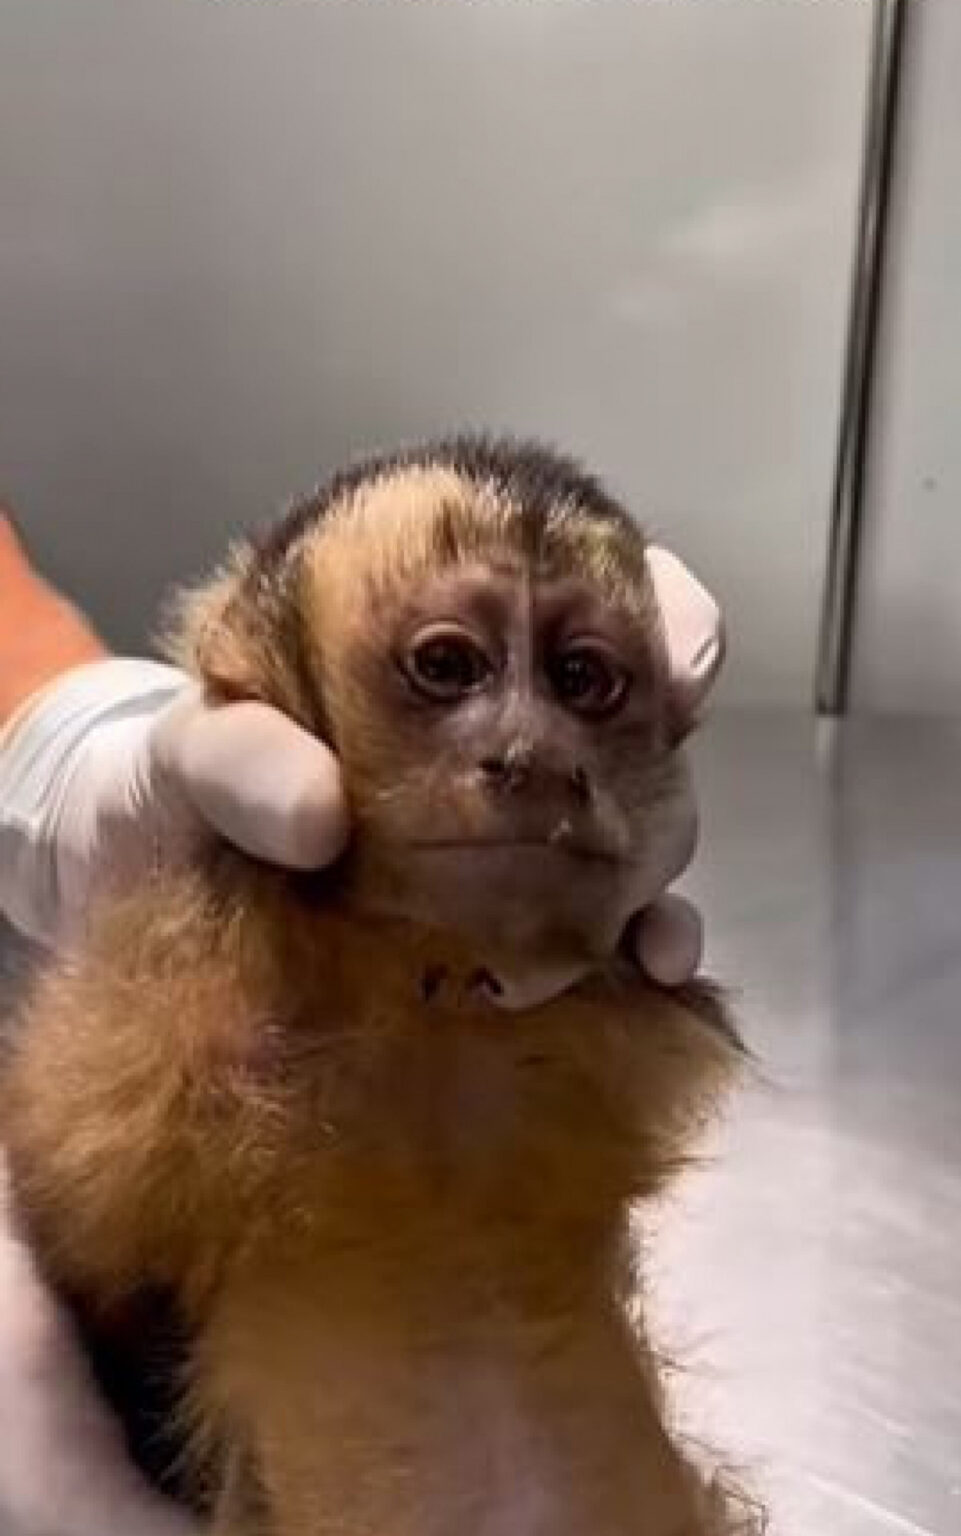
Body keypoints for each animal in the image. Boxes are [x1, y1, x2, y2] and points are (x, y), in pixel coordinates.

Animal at [1, 437, 761, 1536]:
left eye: (581, 678)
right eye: (448, 665)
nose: (536, 760)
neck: (420, 975)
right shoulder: (161, 986)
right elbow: (108, 1284)